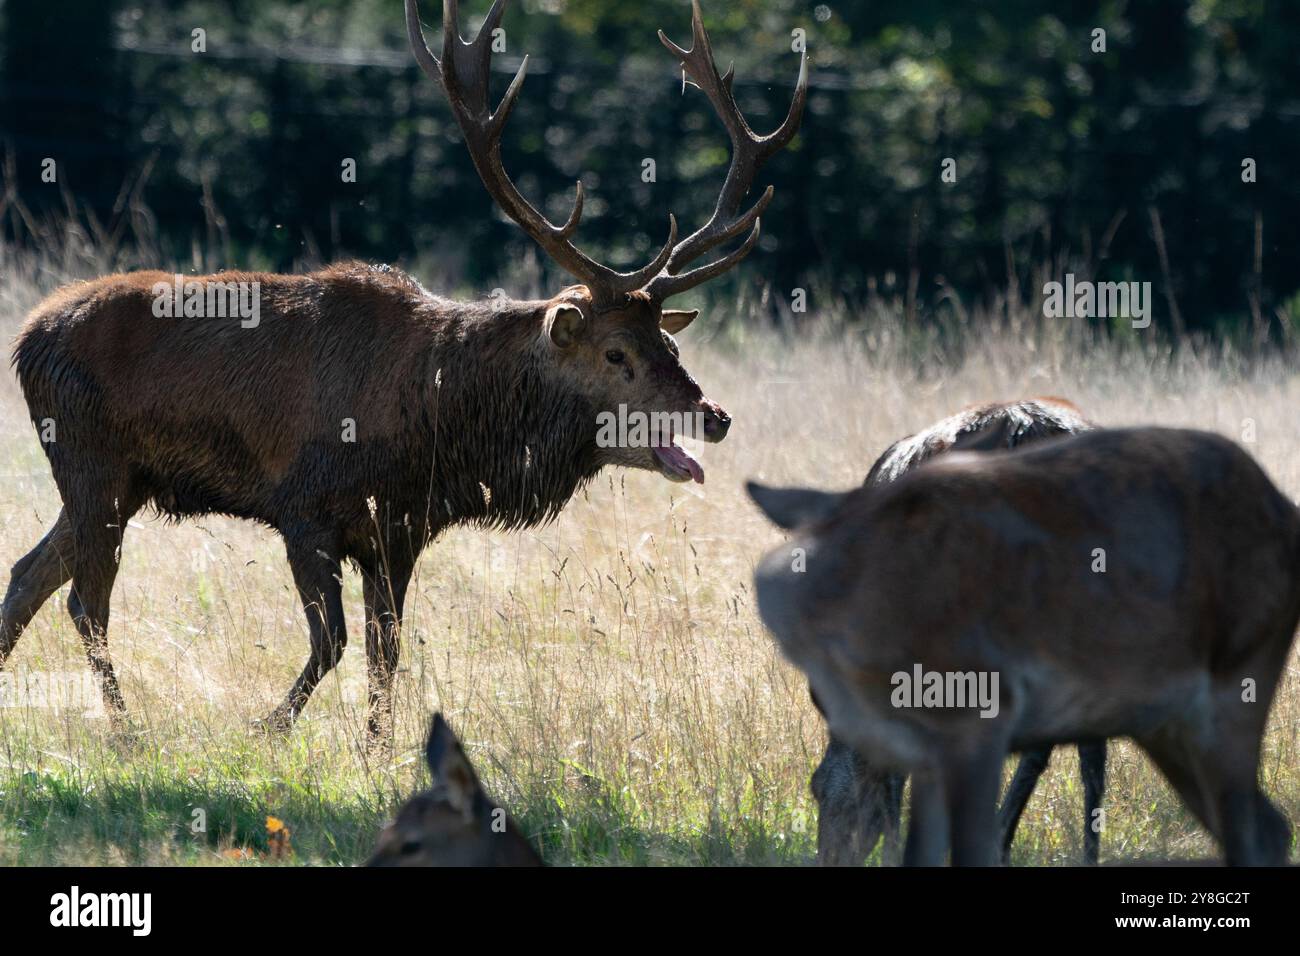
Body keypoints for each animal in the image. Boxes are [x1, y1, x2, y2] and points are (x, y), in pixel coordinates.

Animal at [0, 0, 806, 741]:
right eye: (618, 353)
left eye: (671, 345)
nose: (714, 416)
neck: (437, 431)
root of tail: (28, 338)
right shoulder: (305, 505)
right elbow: (333, 643)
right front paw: (269, 729)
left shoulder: (400, 528)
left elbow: (385, 652)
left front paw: (381, 750)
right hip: (91, 458)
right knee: (85, 601)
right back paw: (126, 730)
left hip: (121, 478)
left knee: (29, 575)